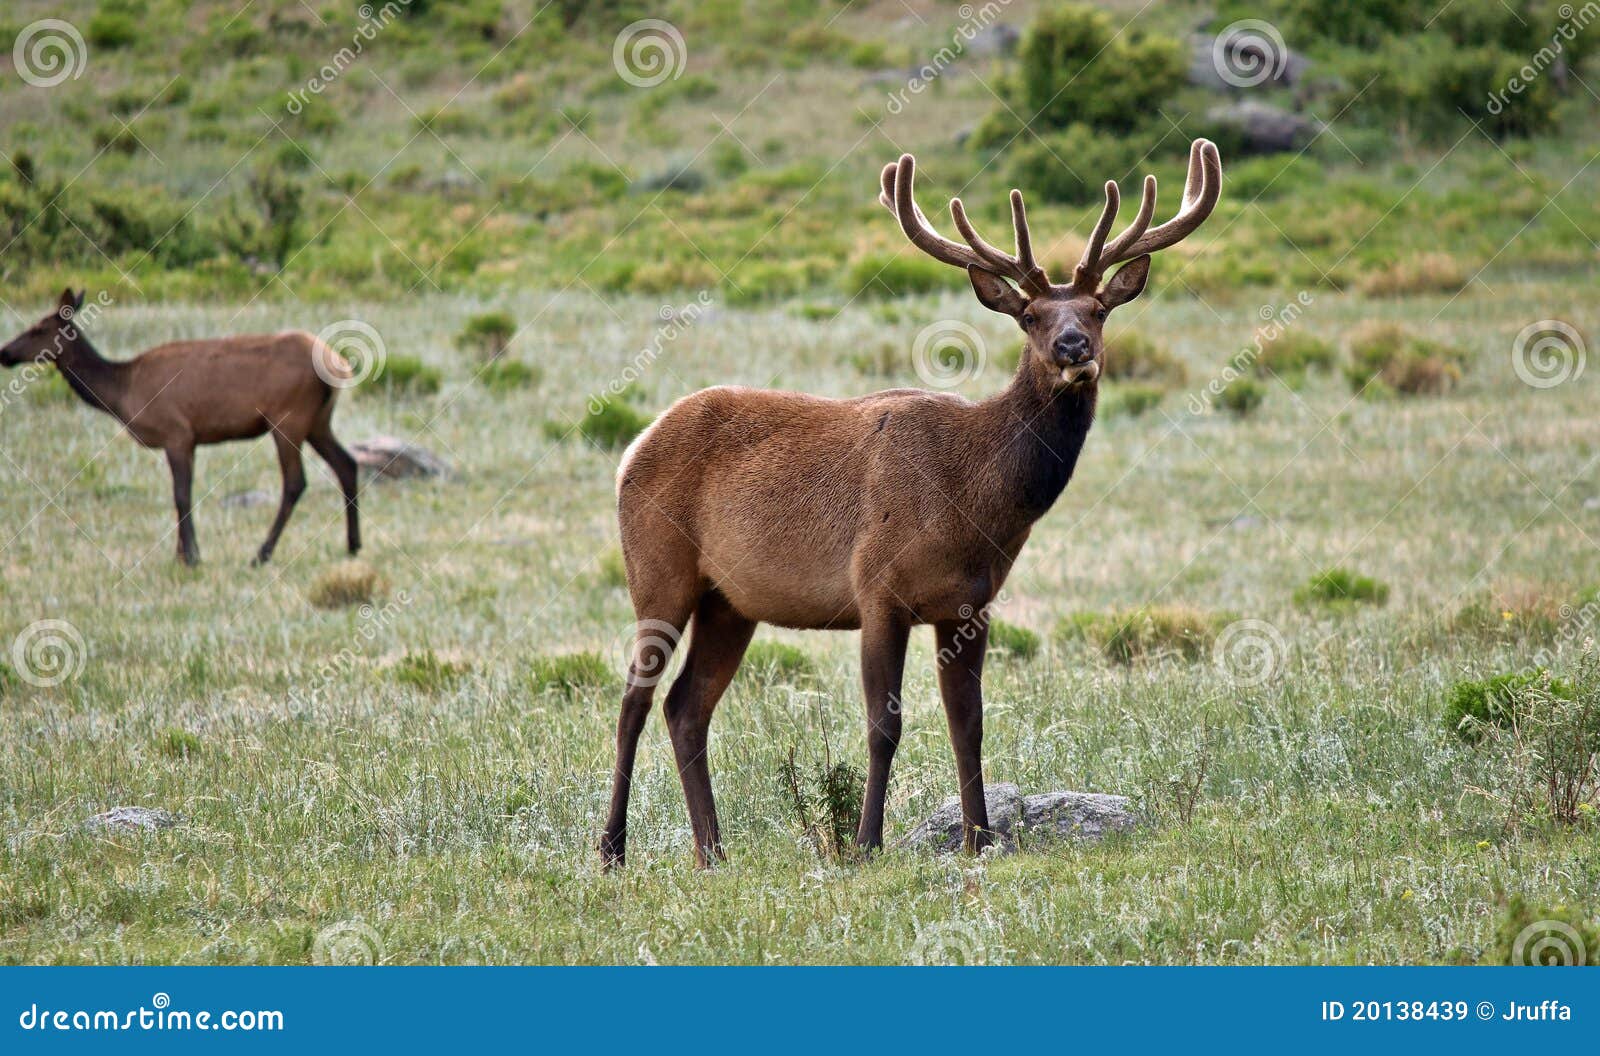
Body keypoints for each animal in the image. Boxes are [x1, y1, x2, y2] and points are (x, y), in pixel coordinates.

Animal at [0, 289, 362, 567]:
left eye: (38, 329)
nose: (4, 353)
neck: (123, 393)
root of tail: (339, 363)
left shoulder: (176, 432)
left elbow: (181, 494)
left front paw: (191, 557)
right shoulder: (188, 440)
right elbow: (183, 494)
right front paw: (181, 554)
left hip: (288, 416)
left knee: (295, 482)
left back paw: (262, 554)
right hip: (318, 420)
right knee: (347, 463)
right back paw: (353, 545)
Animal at [601, 139, 1222, 869]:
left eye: (1099, 309)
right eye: (1031, 317)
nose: (1075, 349)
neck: (972, 507)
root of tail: (632, 448)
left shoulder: (970, 605)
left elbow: (968, 724)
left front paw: (980, 838)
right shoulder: (877, 587)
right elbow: (883, 725)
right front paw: (867, 843)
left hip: (731, 600)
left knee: (686, 705)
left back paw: (713, 852)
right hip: (658, 570)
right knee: (634, 701)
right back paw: (612, 850)